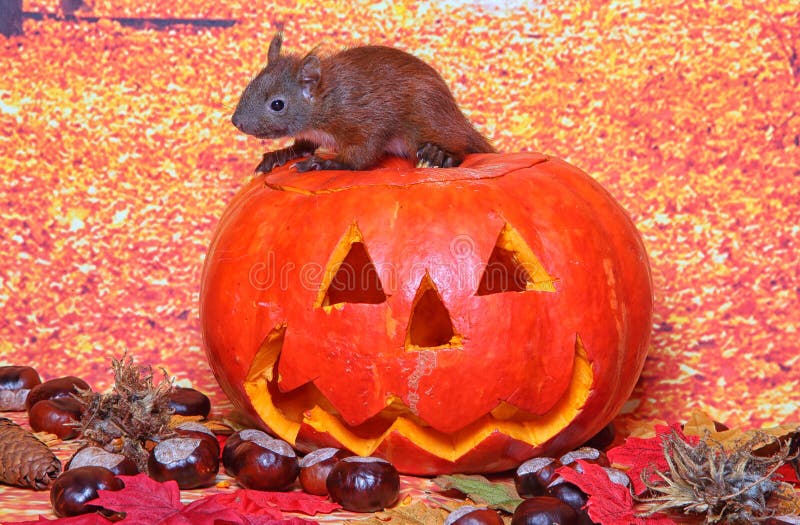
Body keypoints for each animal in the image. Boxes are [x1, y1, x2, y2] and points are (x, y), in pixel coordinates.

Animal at [231, 33, 495, 173]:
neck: (326, 100)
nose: (236, 122)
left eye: (277, 105)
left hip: (428, 116)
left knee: (461, 147)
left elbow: (363, 154)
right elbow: (303, 145)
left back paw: (439, 155)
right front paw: (281, 154)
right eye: (248, 87)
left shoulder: (363, 117)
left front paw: (326, 162)